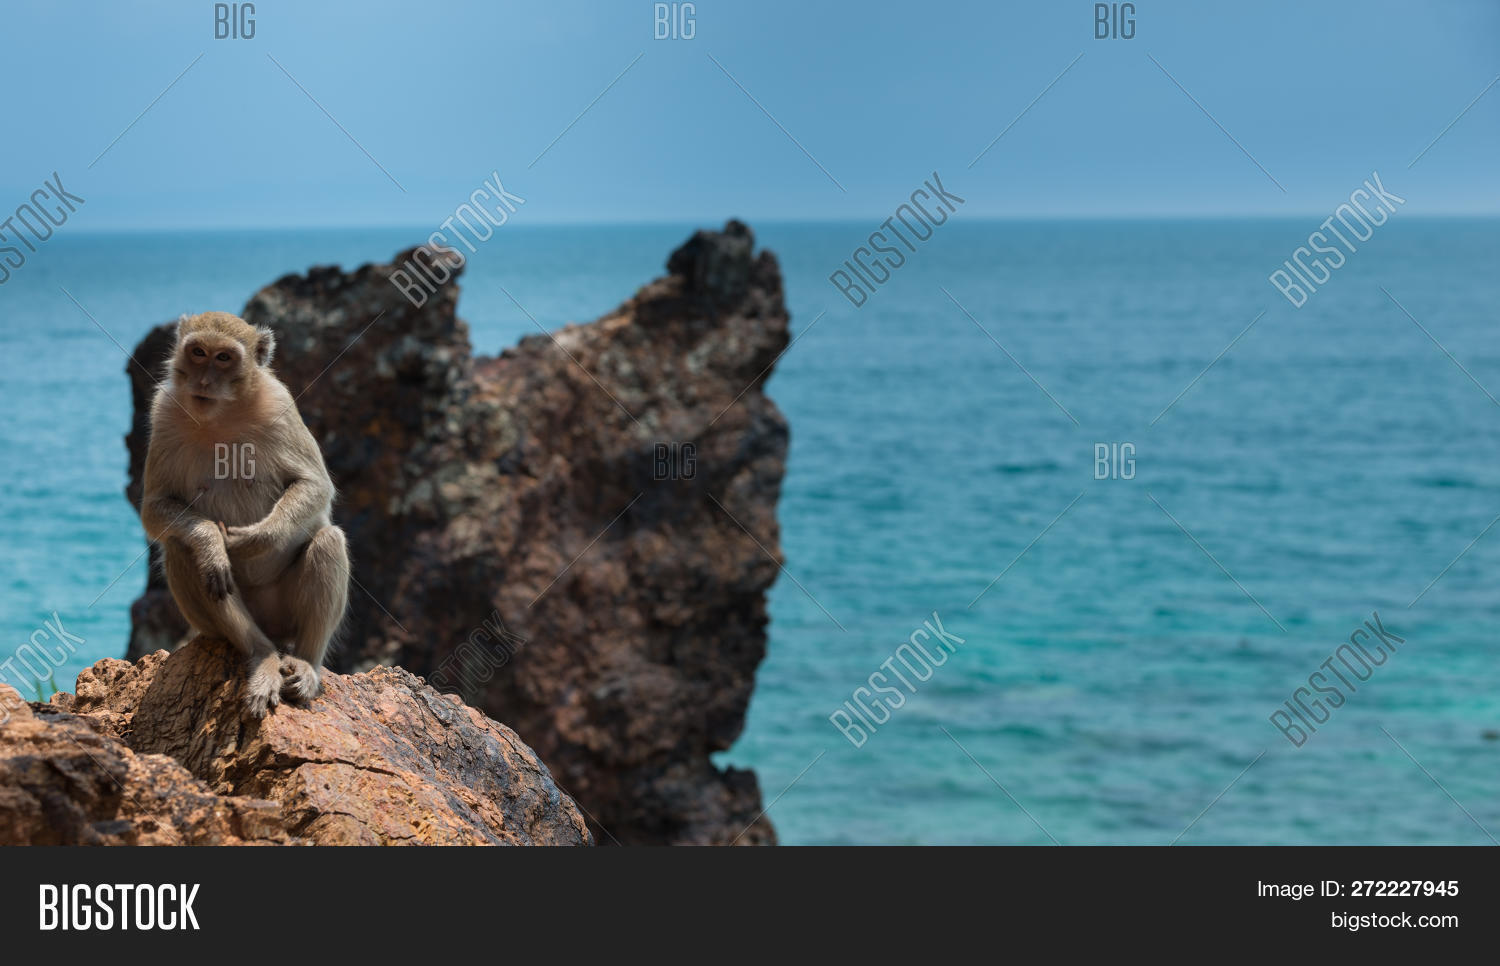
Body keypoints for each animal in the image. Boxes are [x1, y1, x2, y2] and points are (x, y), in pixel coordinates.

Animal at [140, 311, 349, 718]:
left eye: (224, 358)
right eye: (198, 352)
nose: (205, 381)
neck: (223, 413)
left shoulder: (281, 403)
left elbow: (313, 484)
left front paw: (255, 540)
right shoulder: (164, 410)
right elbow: (154, 509)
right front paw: (211, 543)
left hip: (284, 610)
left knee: (328, 541)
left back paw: (306, 663)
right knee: (183, 551)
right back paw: (262, 655)